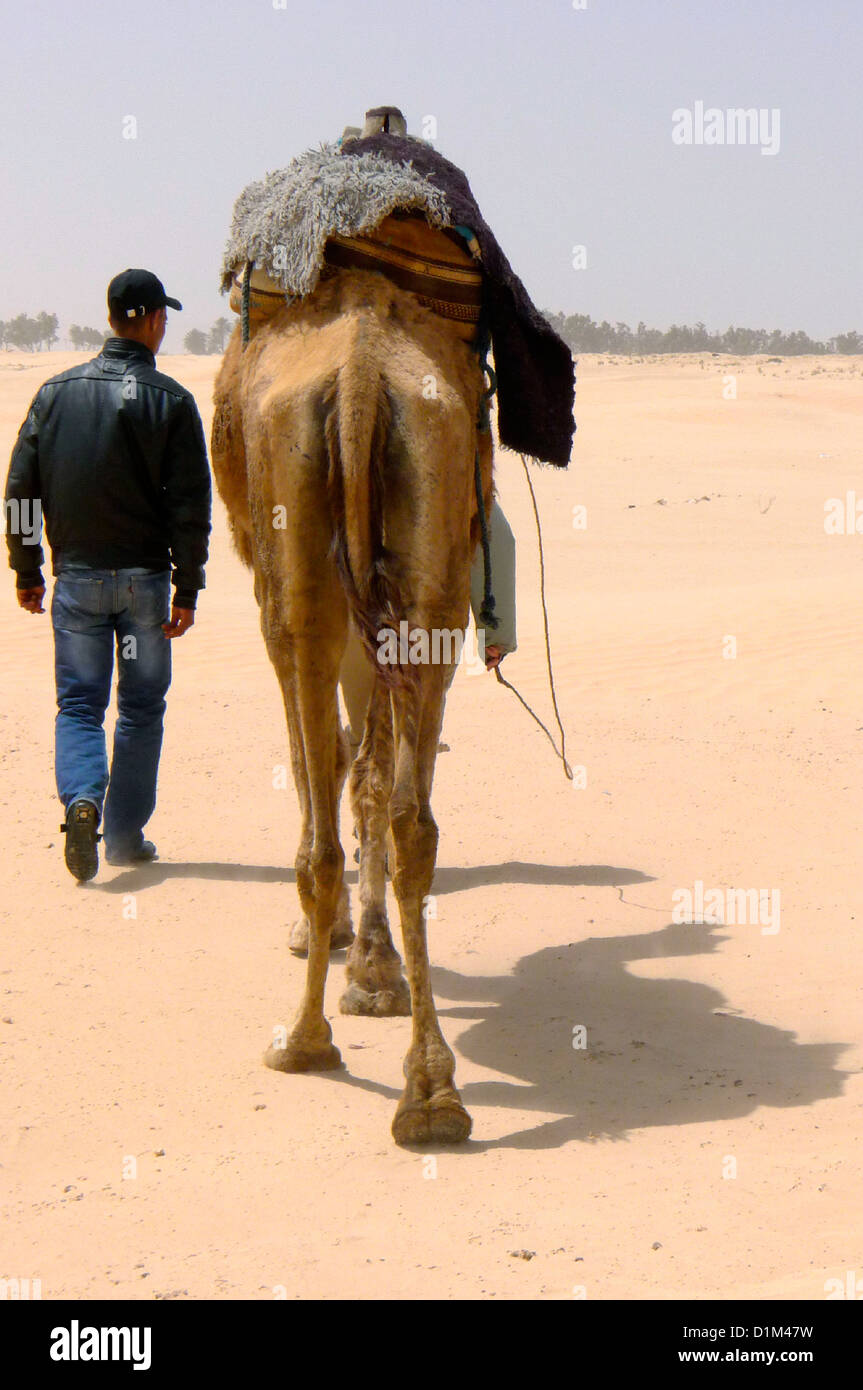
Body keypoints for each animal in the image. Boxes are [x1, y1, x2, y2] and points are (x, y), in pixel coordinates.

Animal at [211, 262, 493, 1144]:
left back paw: (302, 1041)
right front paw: (373, 968)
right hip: (434, 526)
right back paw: (431, 1095)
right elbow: (368, 771)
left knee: (322, 814)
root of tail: (363, 370)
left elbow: (324, 760)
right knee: (413, 821)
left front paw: (334, 945)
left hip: (294, 557)